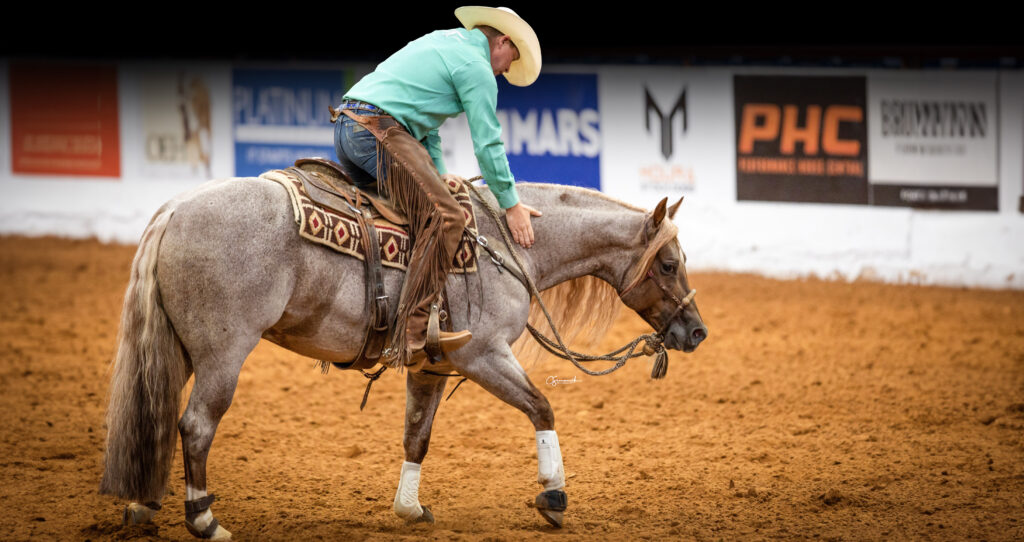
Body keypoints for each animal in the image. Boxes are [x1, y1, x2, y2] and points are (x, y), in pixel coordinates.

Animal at [99, 175, 708, 539]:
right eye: (670, 264)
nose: (697, 331)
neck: (506, 246)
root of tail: (175, 209)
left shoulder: (432, 366)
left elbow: (417, 437)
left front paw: (409, 508)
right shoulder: (483, 355)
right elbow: (541, 408)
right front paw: (553, 495)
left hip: (178, 348)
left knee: (155, 417)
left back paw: (142, 506)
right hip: (224, 352)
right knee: (196, 425)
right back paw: (204, 519)